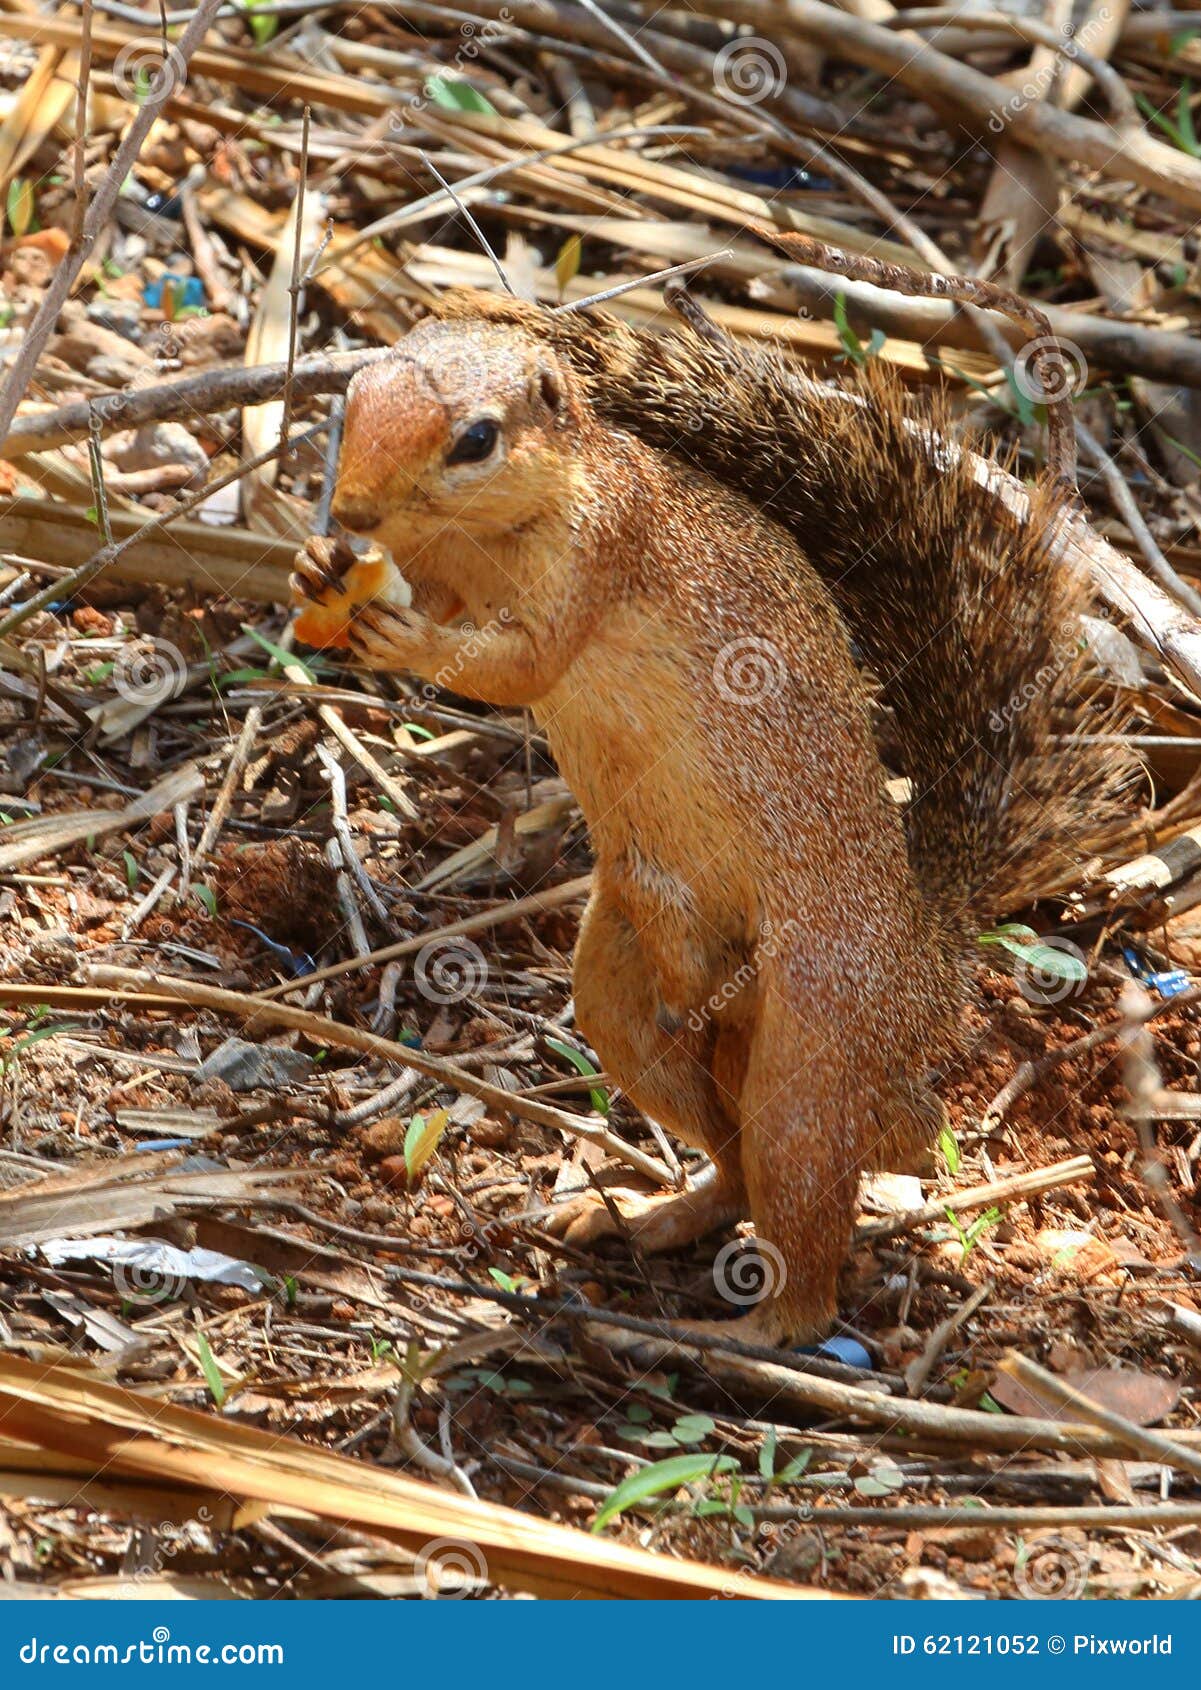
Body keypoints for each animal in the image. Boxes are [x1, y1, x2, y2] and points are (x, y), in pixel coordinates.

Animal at [291, 283, 1120, 1346]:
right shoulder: (439, 561)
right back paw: (652, 1217)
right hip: (627, 986)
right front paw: (316, 569)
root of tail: (923, 967)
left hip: (814, 1044)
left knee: (801, 1220)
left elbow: (520, 667)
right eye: (351, 398)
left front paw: (405, 637)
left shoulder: (602, 549)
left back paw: (744, 1334)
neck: (500, 526)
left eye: (476, 439)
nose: (351, 508)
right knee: (727, 1158)